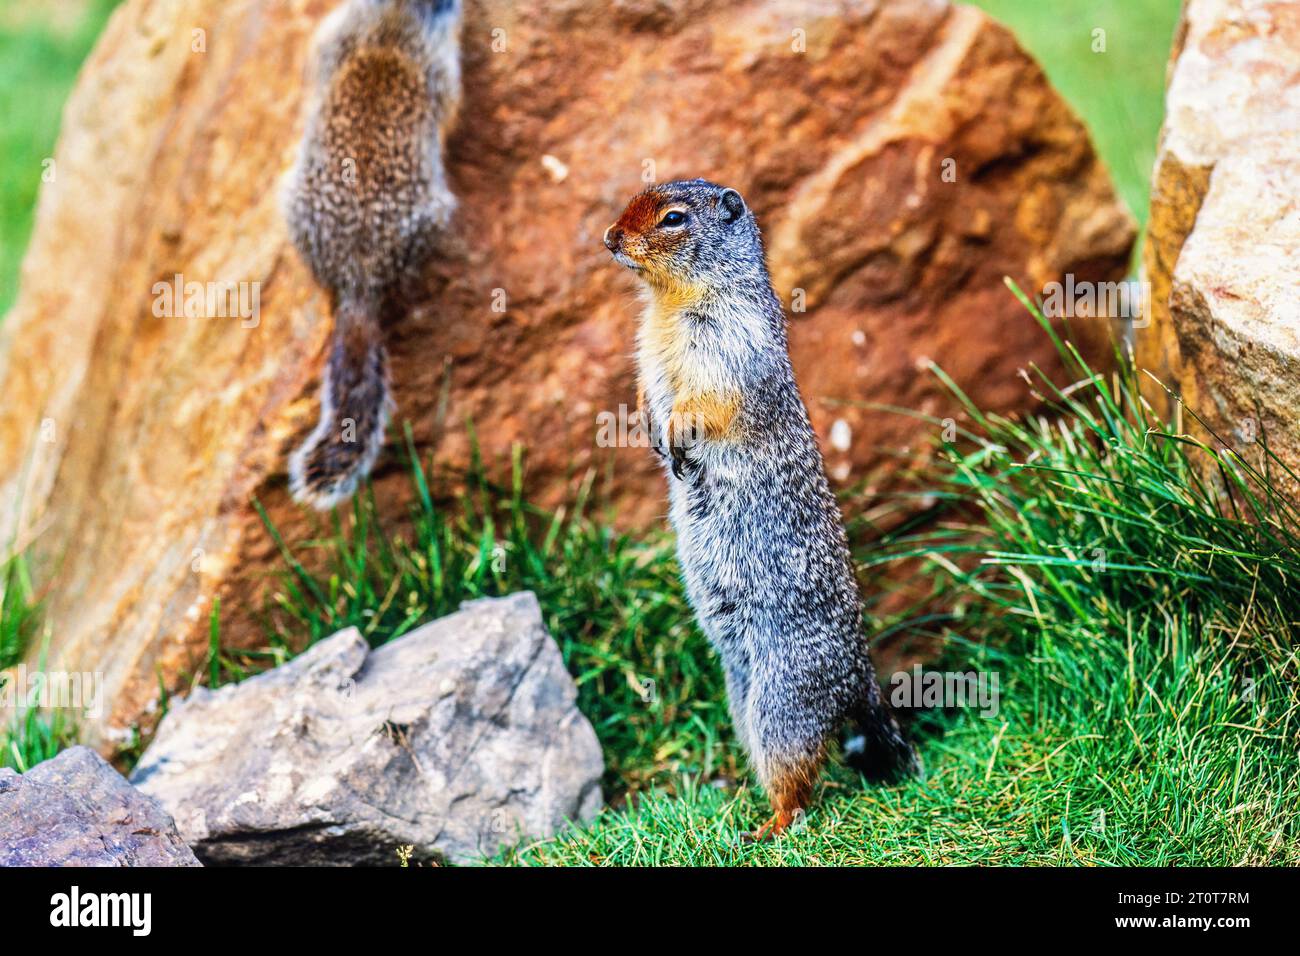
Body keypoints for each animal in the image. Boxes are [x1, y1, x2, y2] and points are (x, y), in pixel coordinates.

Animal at [604, 179, 922, 838]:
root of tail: (861, 677)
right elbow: (648, 384)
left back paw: (768, 826)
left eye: (673, 218)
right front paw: (650, 426)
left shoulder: (728, 341)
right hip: (741, 694)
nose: (609, 238)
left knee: (799, 778)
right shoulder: (648, 346)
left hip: (782, 702)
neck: (671, 302)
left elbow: (707, 398)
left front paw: (674, 432)